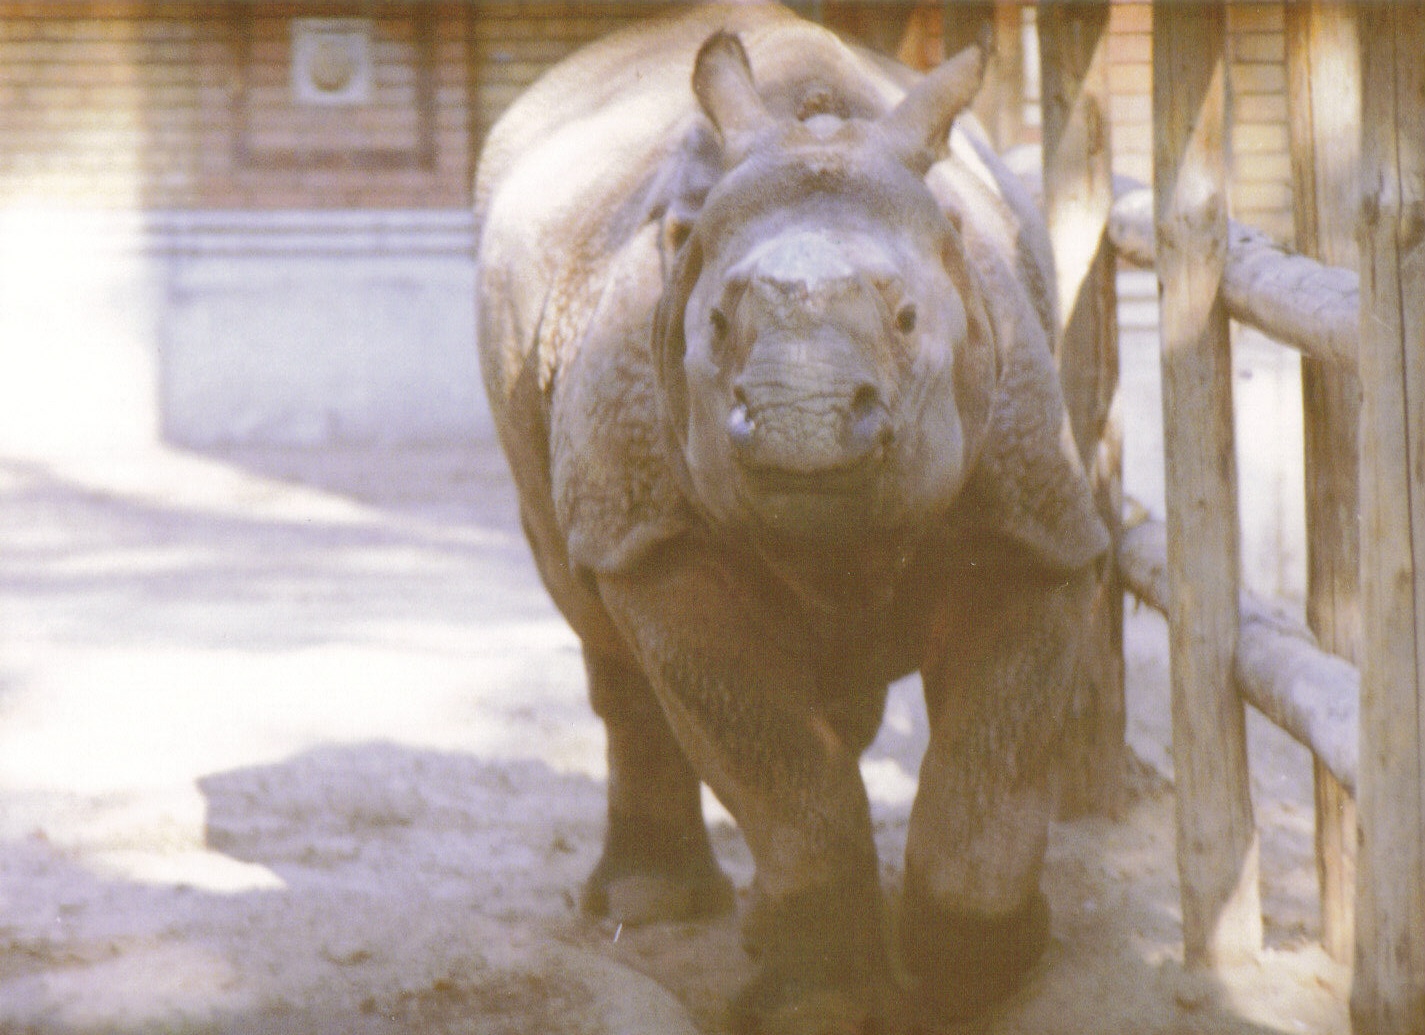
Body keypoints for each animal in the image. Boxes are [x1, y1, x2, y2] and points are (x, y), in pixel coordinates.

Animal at [475, 4, 1108, 1030]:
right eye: (715, 324)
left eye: (906, 320)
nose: (797, 421)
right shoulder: (654, 538)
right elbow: (771, 764)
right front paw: (819, 991)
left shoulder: (1037, 526)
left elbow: (993, 765)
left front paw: (978, 969)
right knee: (595, 618)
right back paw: (652, 906)